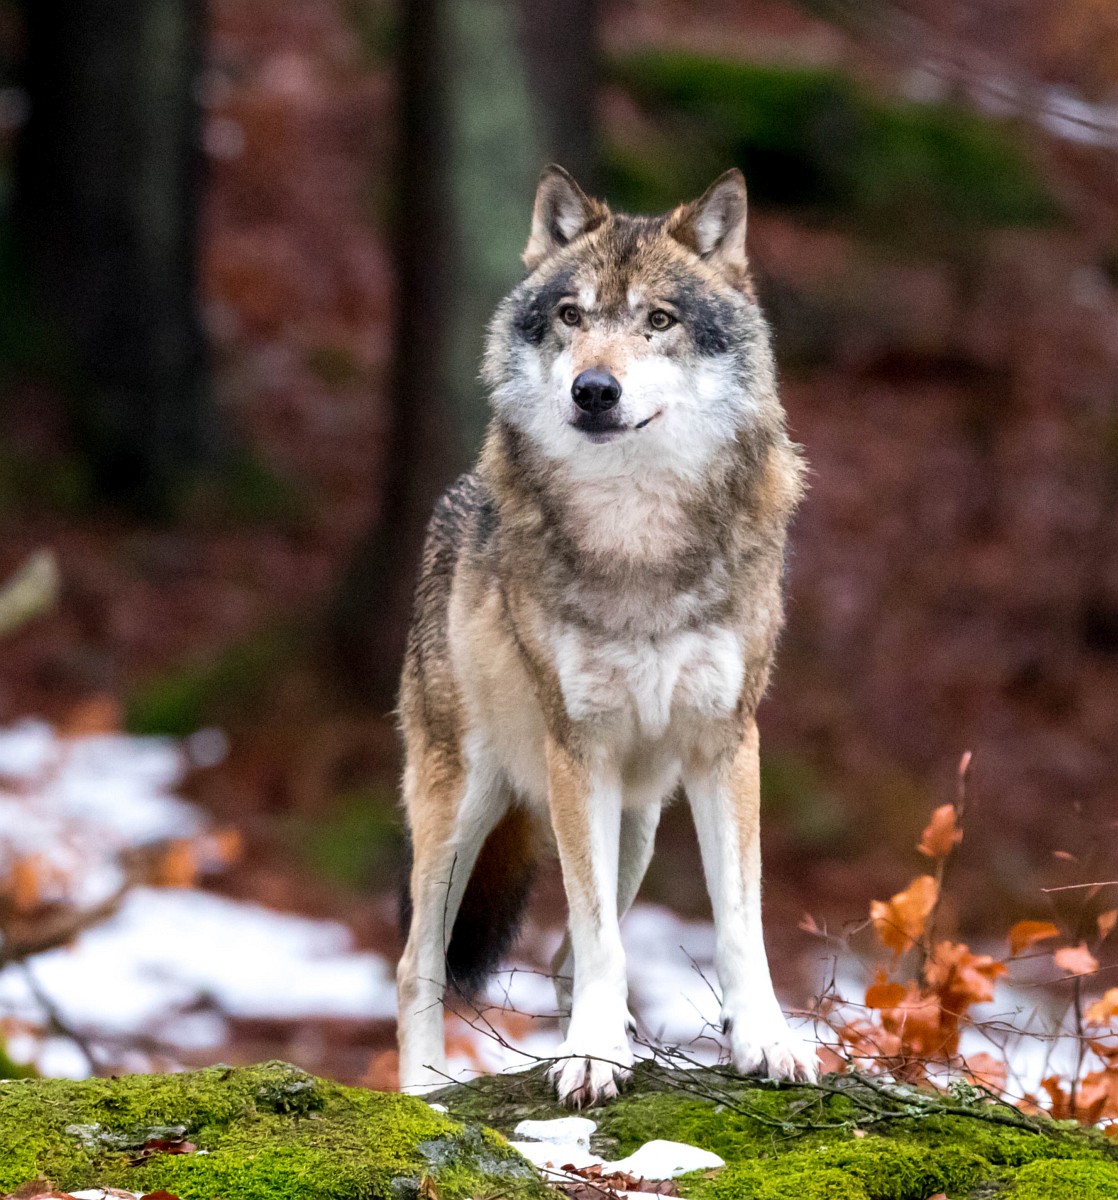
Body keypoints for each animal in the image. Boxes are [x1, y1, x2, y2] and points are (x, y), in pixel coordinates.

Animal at [395, 164, 813, 1107]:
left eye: (658, 320)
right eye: (570, 316)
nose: (593, 389)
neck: (637, 537)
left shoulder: (726, 742)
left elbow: (740, 922)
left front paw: (765, 1041)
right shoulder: (576, 746)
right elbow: (592, 934)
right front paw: (590, 1056)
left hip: (640, 818)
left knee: (561, 963)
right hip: (464, 803)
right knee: (418, 963)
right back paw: (426, 1092)